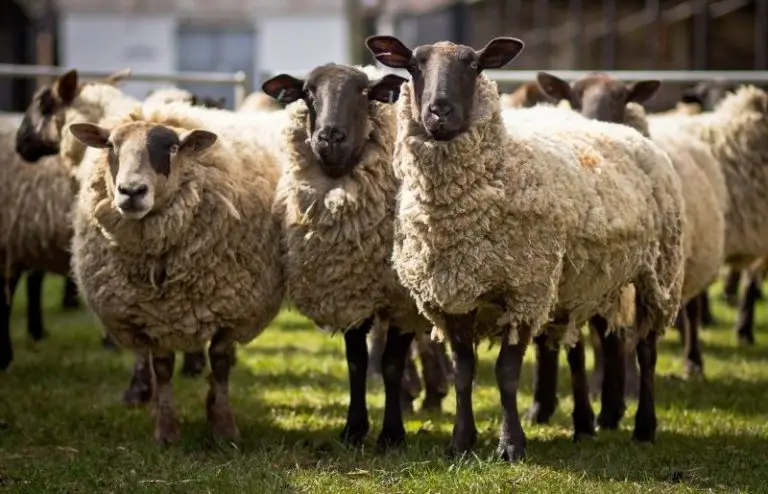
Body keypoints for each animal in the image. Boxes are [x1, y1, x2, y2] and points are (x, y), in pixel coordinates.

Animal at [66, 100, 284, 442]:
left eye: (171, 147)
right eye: (111, 146)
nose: (131, 191)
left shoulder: (232, 310)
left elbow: (220, 363)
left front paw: (224, 426)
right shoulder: (153, 316)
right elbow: (163, 366)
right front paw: (166, 429)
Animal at [262, 63, 444, 447]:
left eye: (363, 93)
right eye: (308, 93)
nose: (330, 136)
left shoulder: (402, 301)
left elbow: (390, 364)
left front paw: (391, 434)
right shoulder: (349, 291)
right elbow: (357, 361)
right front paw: (354, 429)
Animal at [366, 35, 685, 461]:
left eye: (475, 65)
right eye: (414, 66)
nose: (439, 111)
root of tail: (618, 130)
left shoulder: (525, 292)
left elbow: (506, 372)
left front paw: (510, 444)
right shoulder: (453, 298)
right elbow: (464, 371)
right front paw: (460, 442)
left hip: (660, 271)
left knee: (647, 349)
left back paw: (644, 427)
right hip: (588, 281)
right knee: (587, 345)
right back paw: (586, 424)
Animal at [537, 72, 727, 386]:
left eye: (621, 97)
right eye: (574, 97)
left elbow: (628, 335)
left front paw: (628, 382)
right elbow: (597, 334)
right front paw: (599, 379)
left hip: (689, 255)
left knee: (692, 309)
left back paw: (693, 362)